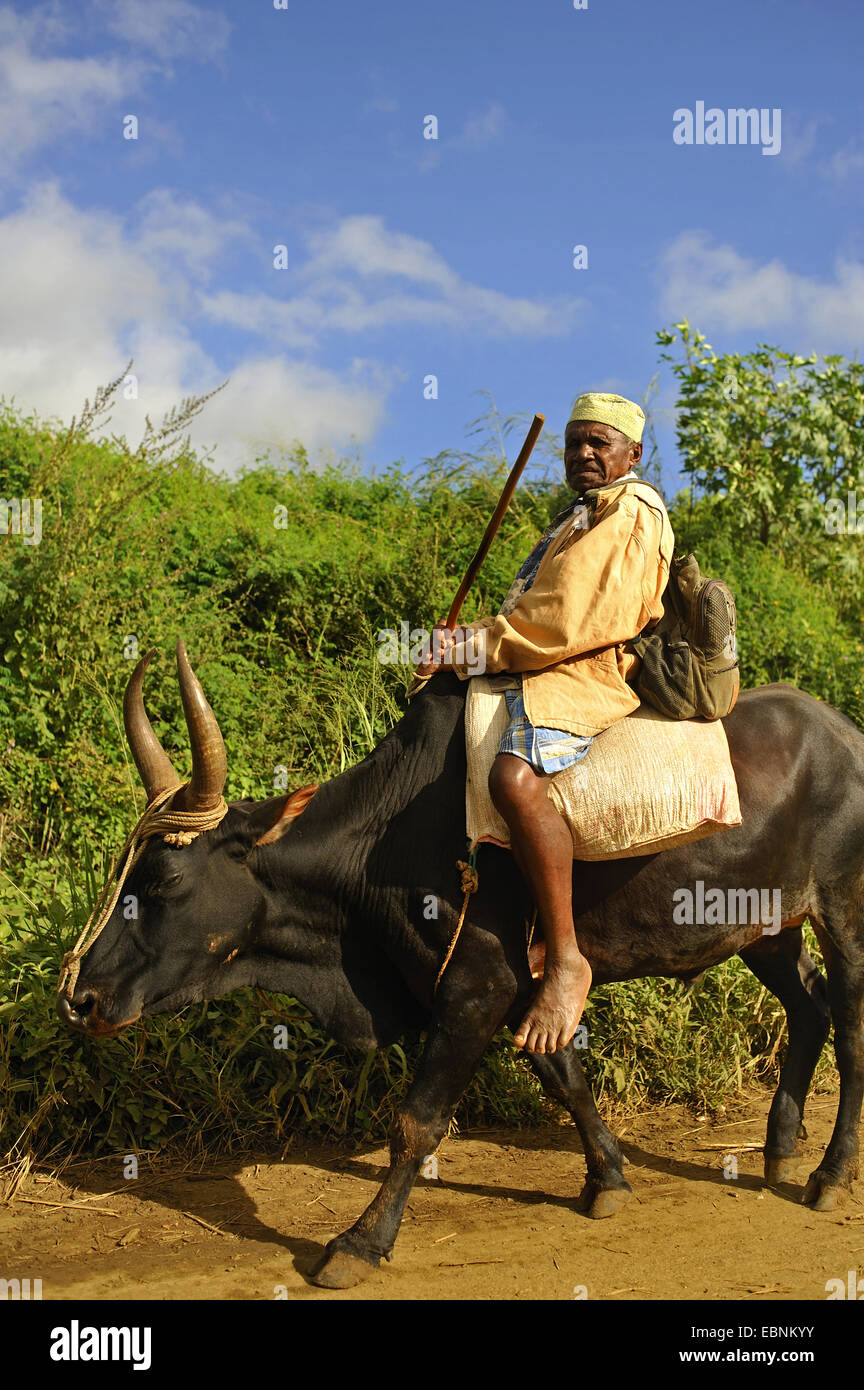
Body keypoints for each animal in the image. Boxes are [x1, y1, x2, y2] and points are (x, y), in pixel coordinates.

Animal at [57, 641, 861, 1290]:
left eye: (165, 879)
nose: (79, 999)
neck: (377, 848)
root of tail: (842, 729)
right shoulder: (524, 987)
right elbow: (563, 1076)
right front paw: (607, 1177)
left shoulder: (476, 986)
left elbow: (416, 1123)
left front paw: (360, 1241)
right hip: (766, 929)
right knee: (810, 1006)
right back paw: (781, 1149)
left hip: (842, 912)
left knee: (850, 1030)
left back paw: (829, 1173)